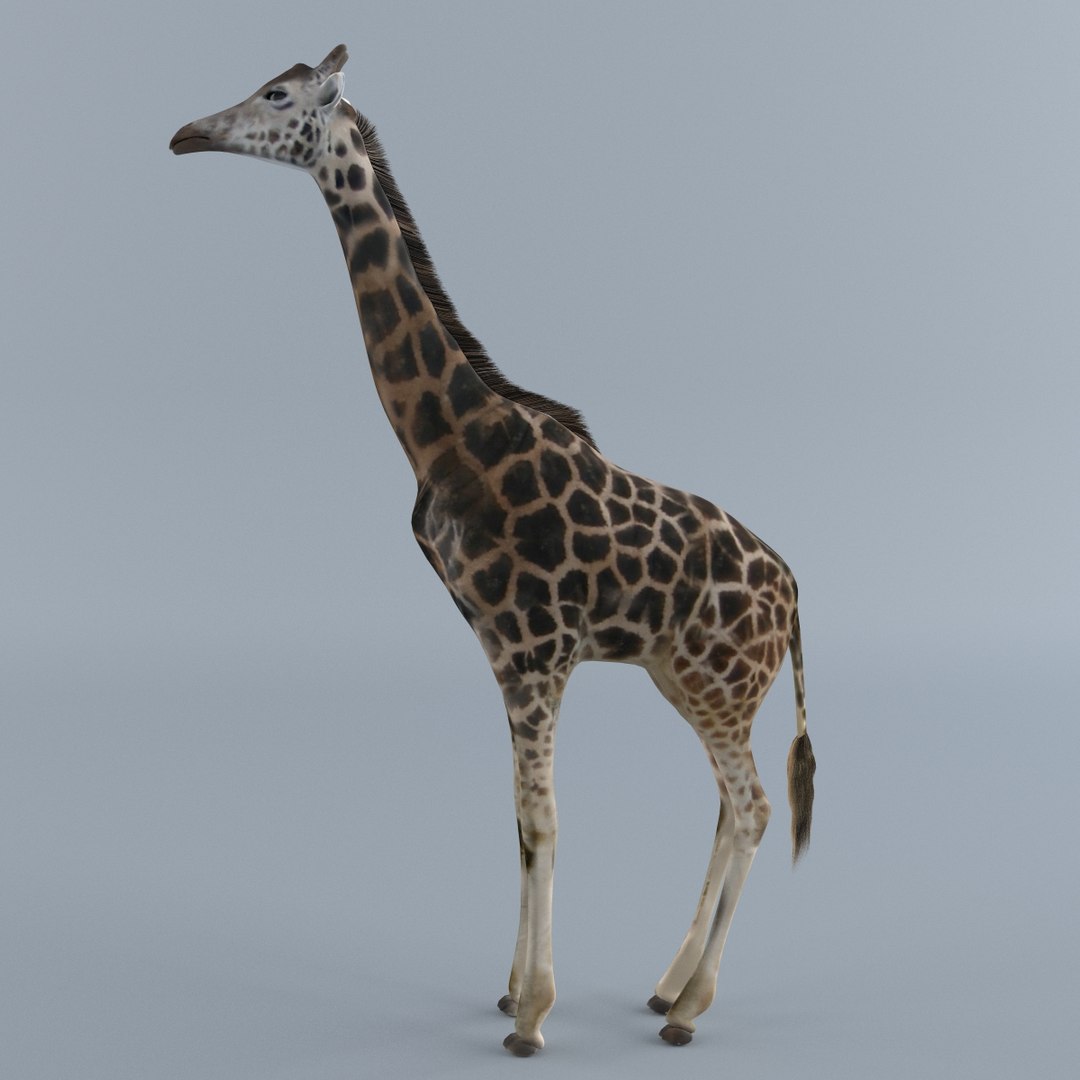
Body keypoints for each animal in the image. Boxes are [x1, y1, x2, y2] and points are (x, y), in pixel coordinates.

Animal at [170, 45, 816, 1056]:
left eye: (276, 95)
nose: (185, 133)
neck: (451, 442)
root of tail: (795, 595)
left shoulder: (534, 651)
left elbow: (541, 823)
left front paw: (534, 1018)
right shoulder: (502, 653)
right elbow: (516, 823)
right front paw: (514, 995)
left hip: (718, 687)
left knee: (750, 809)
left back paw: (689, 1010)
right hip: (691, 681)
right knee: (727, 807)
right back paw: (667, 986)